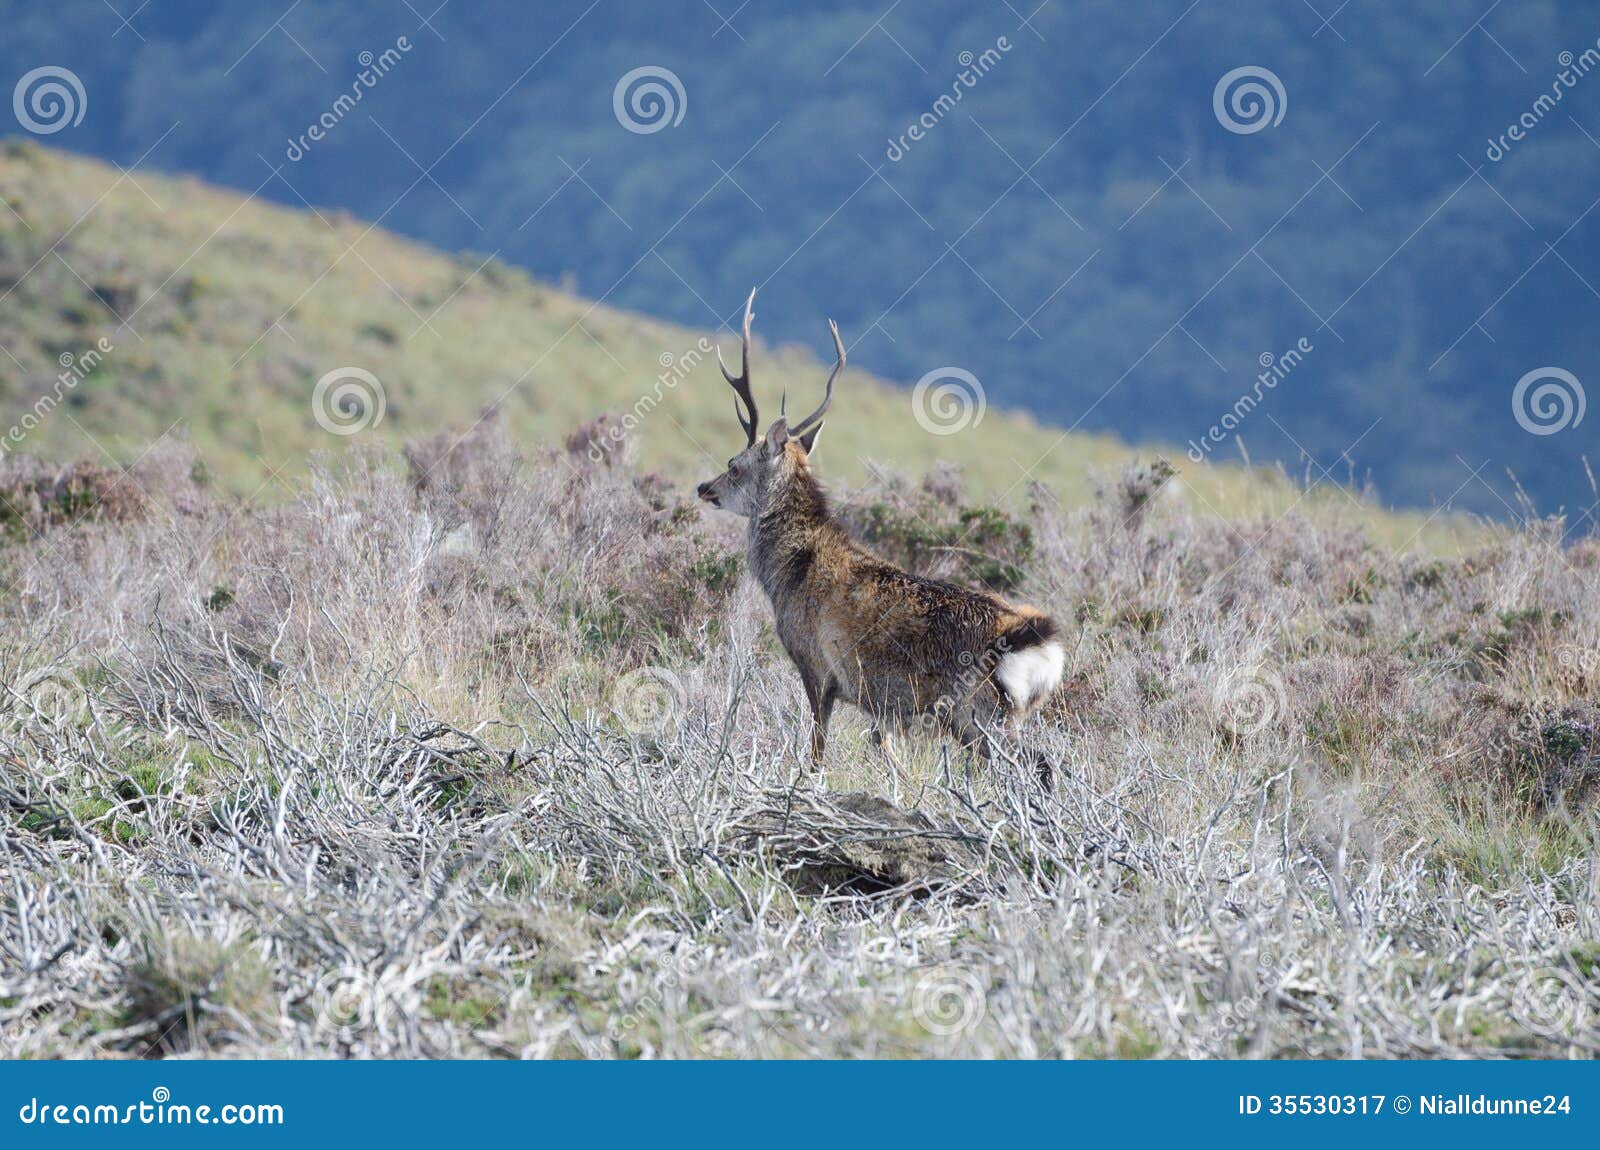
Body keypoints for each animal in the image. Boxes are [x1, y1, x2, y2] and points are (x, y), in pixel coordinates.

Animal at [696, 289, 1064, 782]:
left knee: (1038, 768)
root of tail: (1035, 640)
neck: (785, 577)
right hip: (1000, 716)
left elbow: (816, 749)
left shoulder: (817, 666)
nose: (704, 487)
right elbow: (881, 746)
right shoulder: (875, 705)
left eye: (734, 465)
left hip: (977, 711)